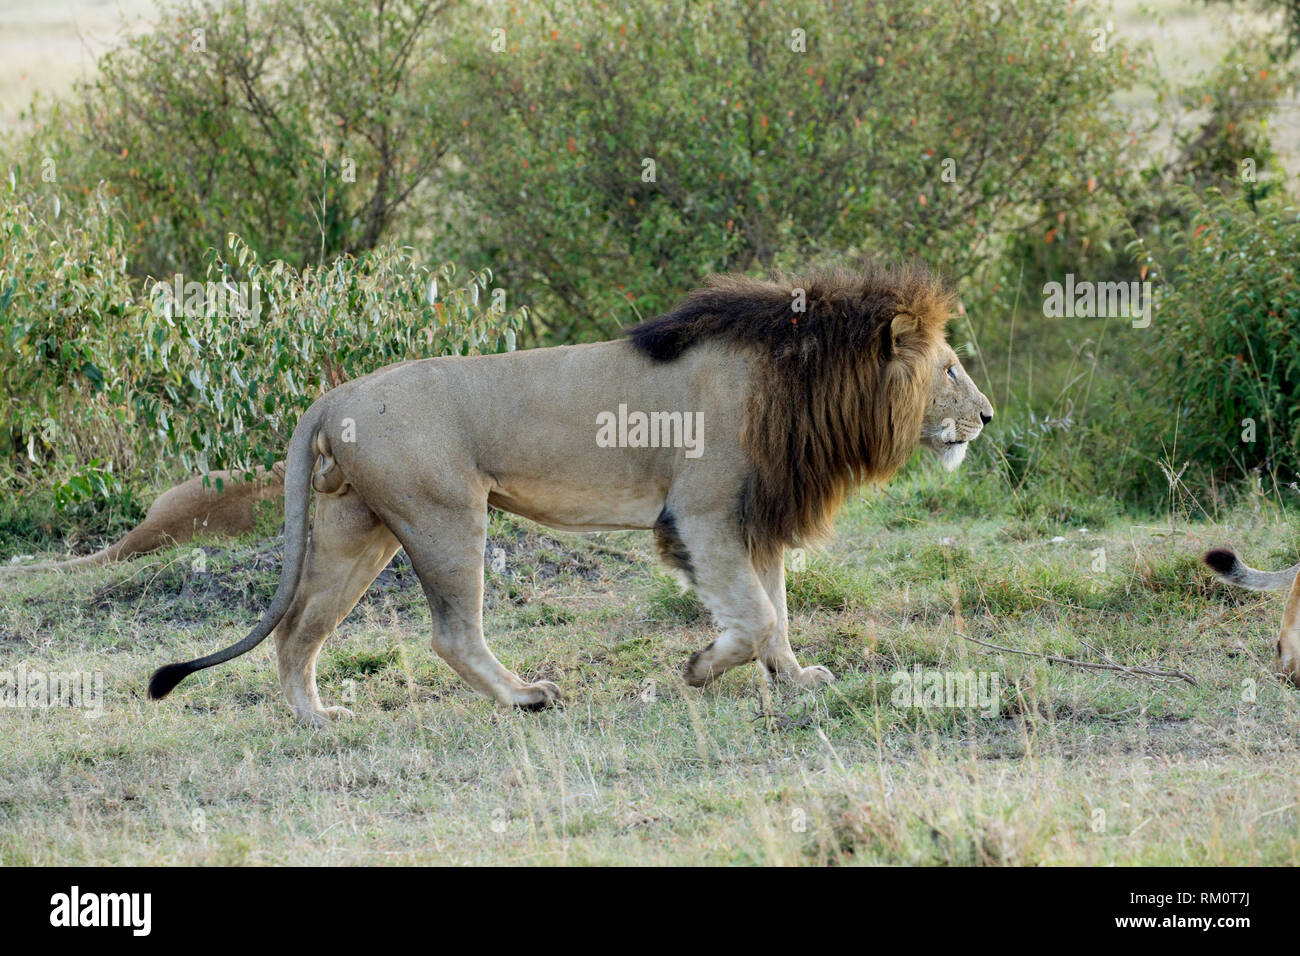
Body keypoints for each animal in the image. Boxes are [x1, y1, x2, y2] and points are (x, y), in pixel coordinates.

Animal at [148, 265, 994, 726]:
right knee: (451, 634)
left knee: (298, 633)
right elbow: (753, 616)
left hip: (359, 527)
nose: (986, 416)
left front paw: (796, 680)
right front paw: (699, 668)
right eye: (952, 368)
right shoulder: (704, 513)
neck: (804, 380)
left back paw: (316, 718)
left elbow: (777, 613)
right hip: (444, 515)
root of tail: (333, 396)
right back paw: (526, 697)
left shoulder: (754, 517)